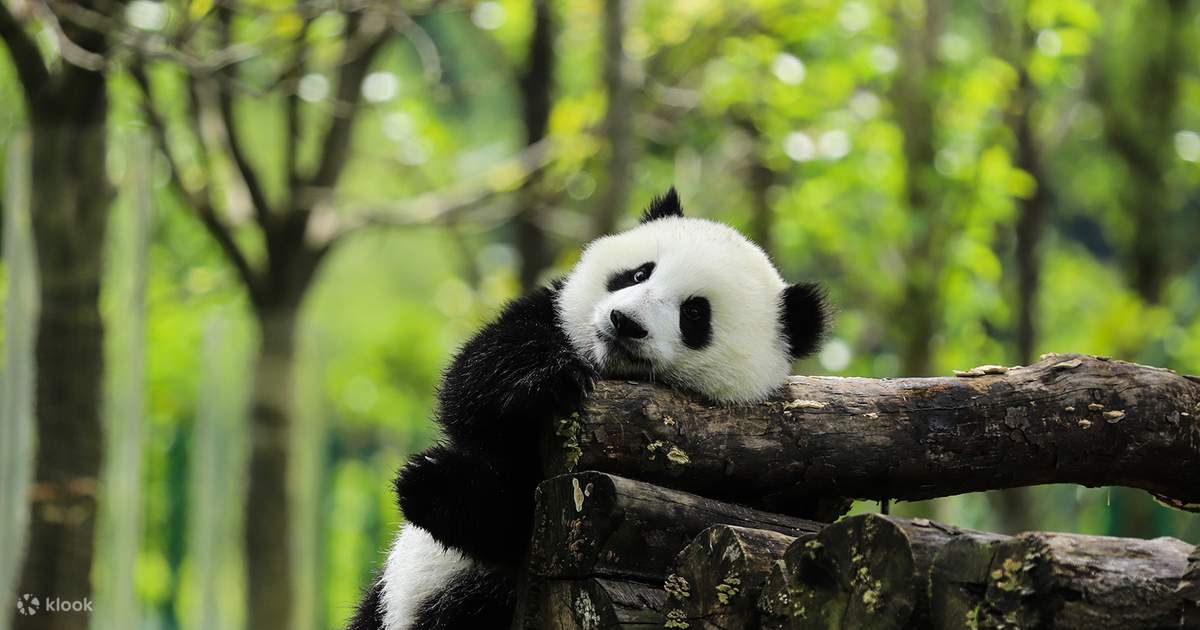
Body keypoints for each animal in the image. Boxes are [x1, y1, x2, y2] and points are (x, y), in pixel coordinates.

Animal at [346, 188, 829, 630]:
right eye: (638, 273)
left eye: (695, 313)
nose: (625, 323)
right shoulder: (552, 316)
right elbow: (473, 384)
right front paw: (546, 379)